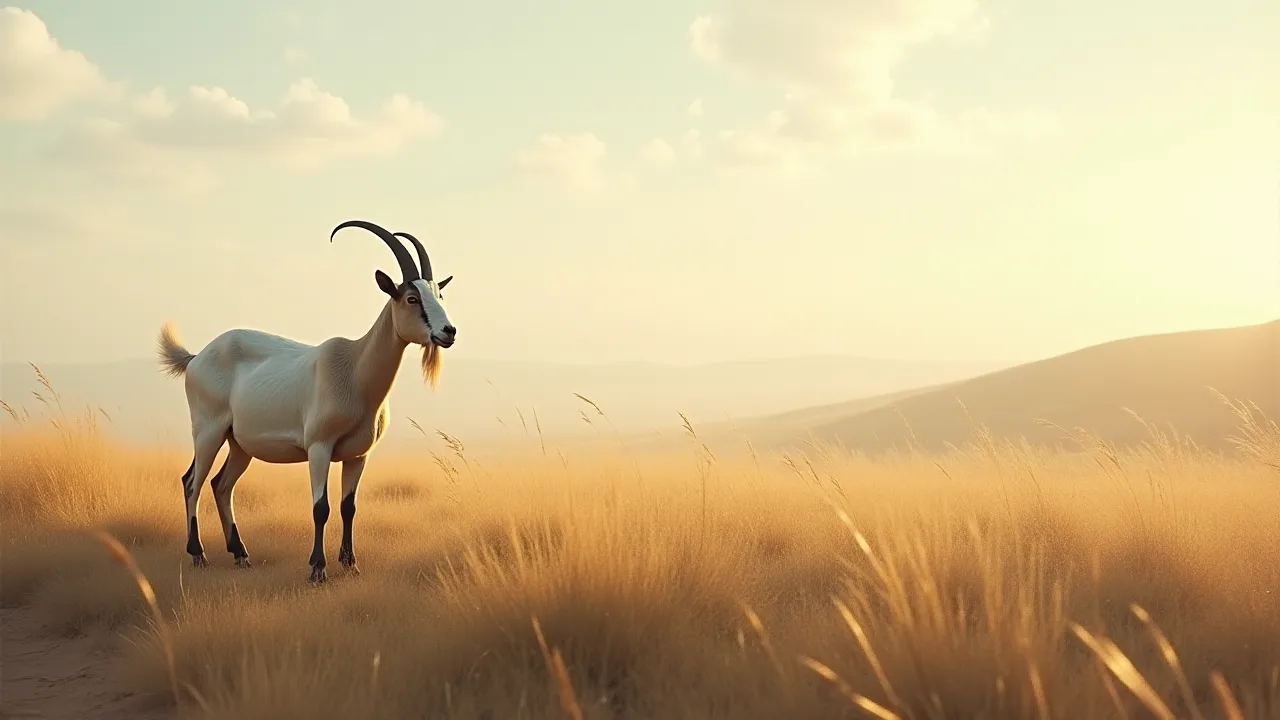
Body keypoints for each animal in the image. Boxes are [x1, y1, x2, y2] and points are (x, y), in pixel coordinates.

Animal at [156, 219, 457, 582]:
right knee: (192, 482)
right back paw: (198, 554)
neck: (354, 370)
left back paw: (241, 554)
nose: (448, 331)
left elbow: (348, 507)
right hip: (207, 433)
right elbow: (320, 507)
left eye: (439, 294)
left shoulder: (358, 455)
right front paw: (317, 568)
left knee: (221, 485)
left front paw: (350, 563)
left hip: (239, 444)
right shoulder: (319, 448)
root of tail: (196, 357)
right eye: (412, 297)